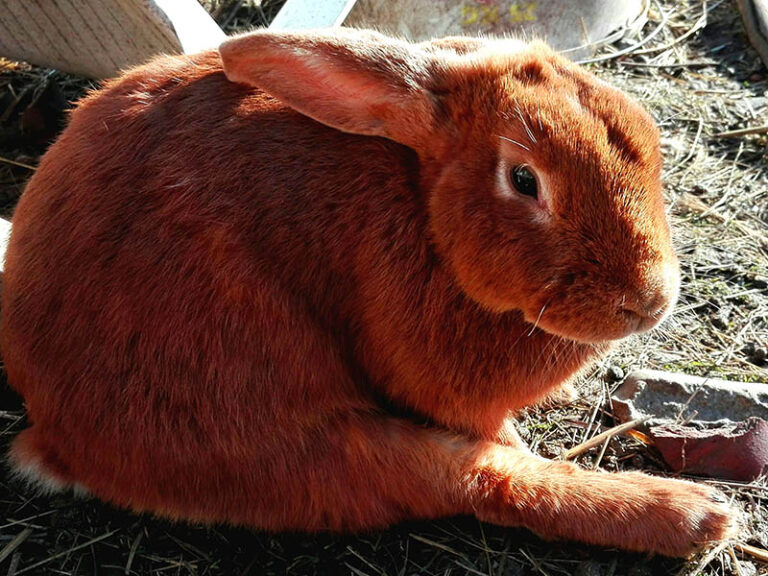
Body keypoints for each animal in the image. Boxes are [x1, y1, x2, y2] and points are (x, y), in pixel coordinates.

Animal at [1, 28, 736, 556]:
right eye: (524, 180)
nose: (651, 302)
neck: (424, 207)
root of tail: (59, 436)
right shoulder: (437, 385)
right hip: (276, 428)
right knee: (475, 480)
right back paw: (693, 515)